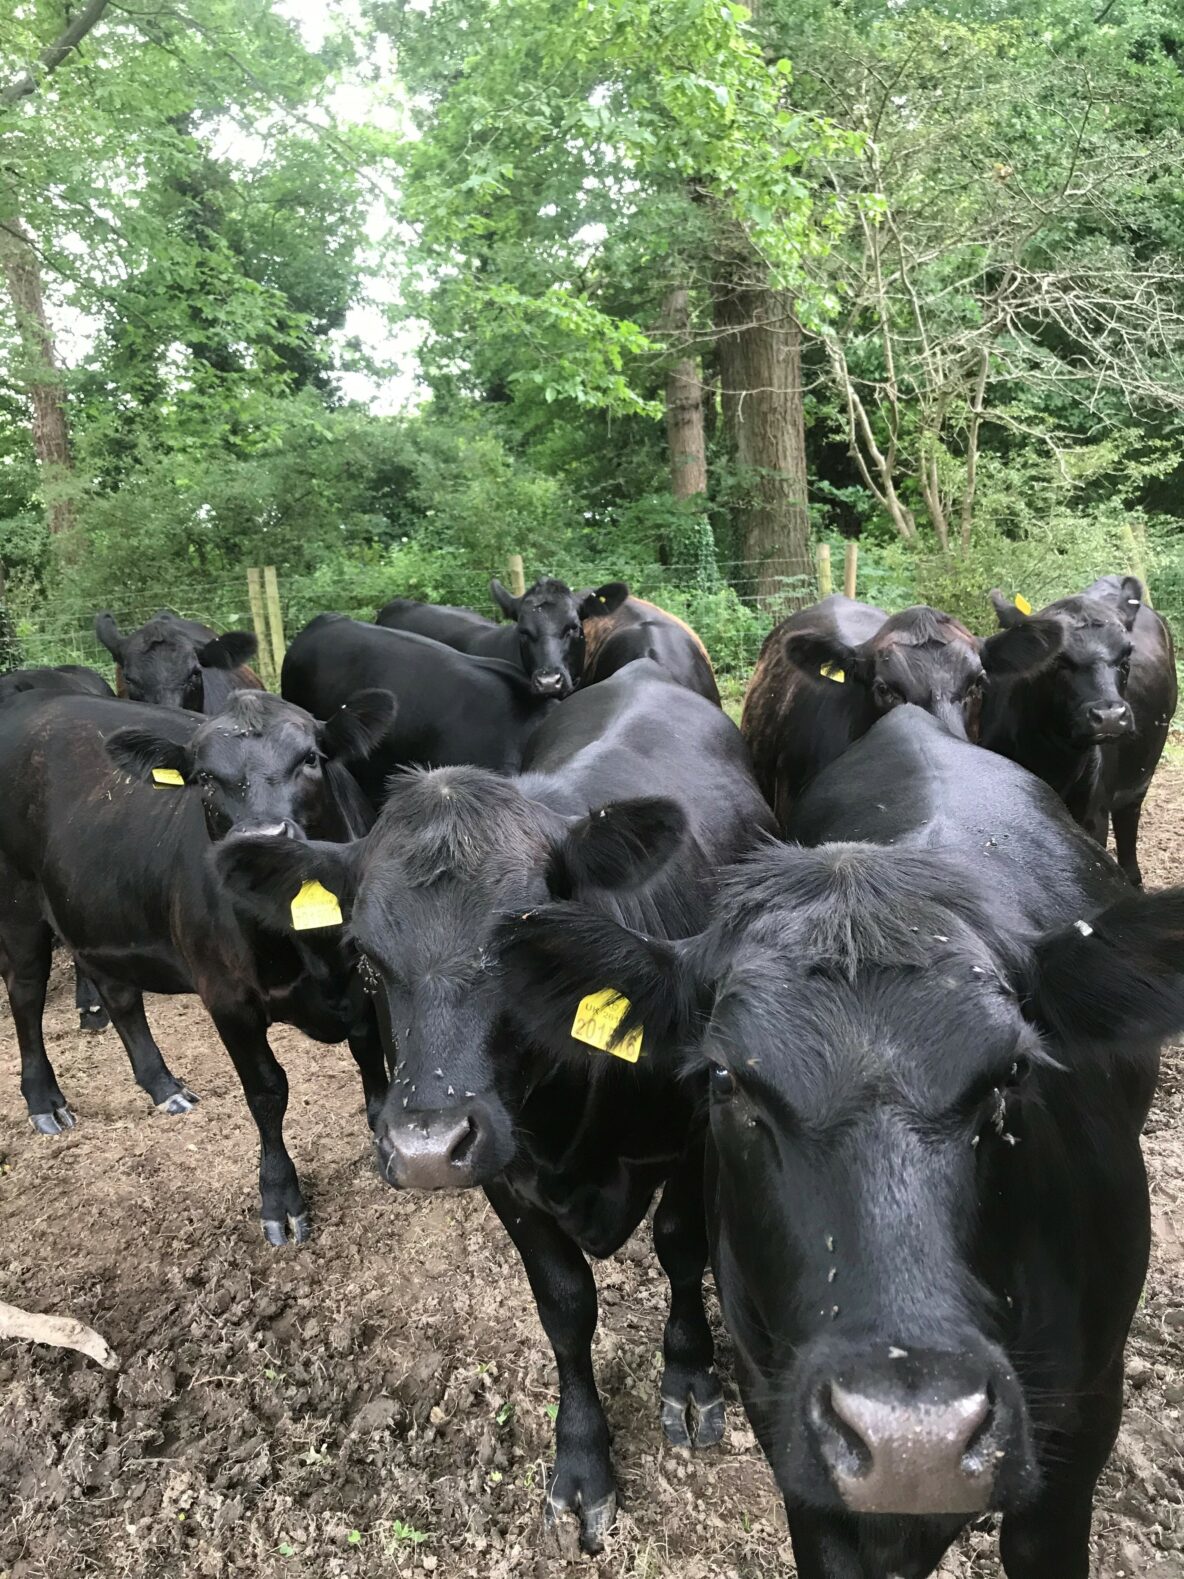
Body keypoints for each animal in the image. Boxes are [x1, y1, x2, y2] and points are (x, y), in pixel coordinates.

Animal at [0, 686, 392, 1244]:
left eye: (311, 759)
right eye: (205, 777)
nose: (260, 839)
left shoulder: (365, 980)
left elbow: (370, 1058)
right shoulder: (227, 998)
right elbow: (267, 1092)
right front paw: (280, 1198)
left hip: (96, 913)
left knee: (119, 994)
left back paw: (162, 1086)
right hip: (18, 904)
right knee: (26, 992)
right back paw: (44, 1101)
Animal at [215, 661, 776, 1549]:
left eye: (531, 945)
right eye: (364, 954)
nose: (423, 1145)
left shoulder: (694, 1133)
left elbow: (680, 1246)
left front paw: (690, 1377)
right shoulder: (506, 1173)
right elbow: (565, 1305)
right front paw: (581, 1461)